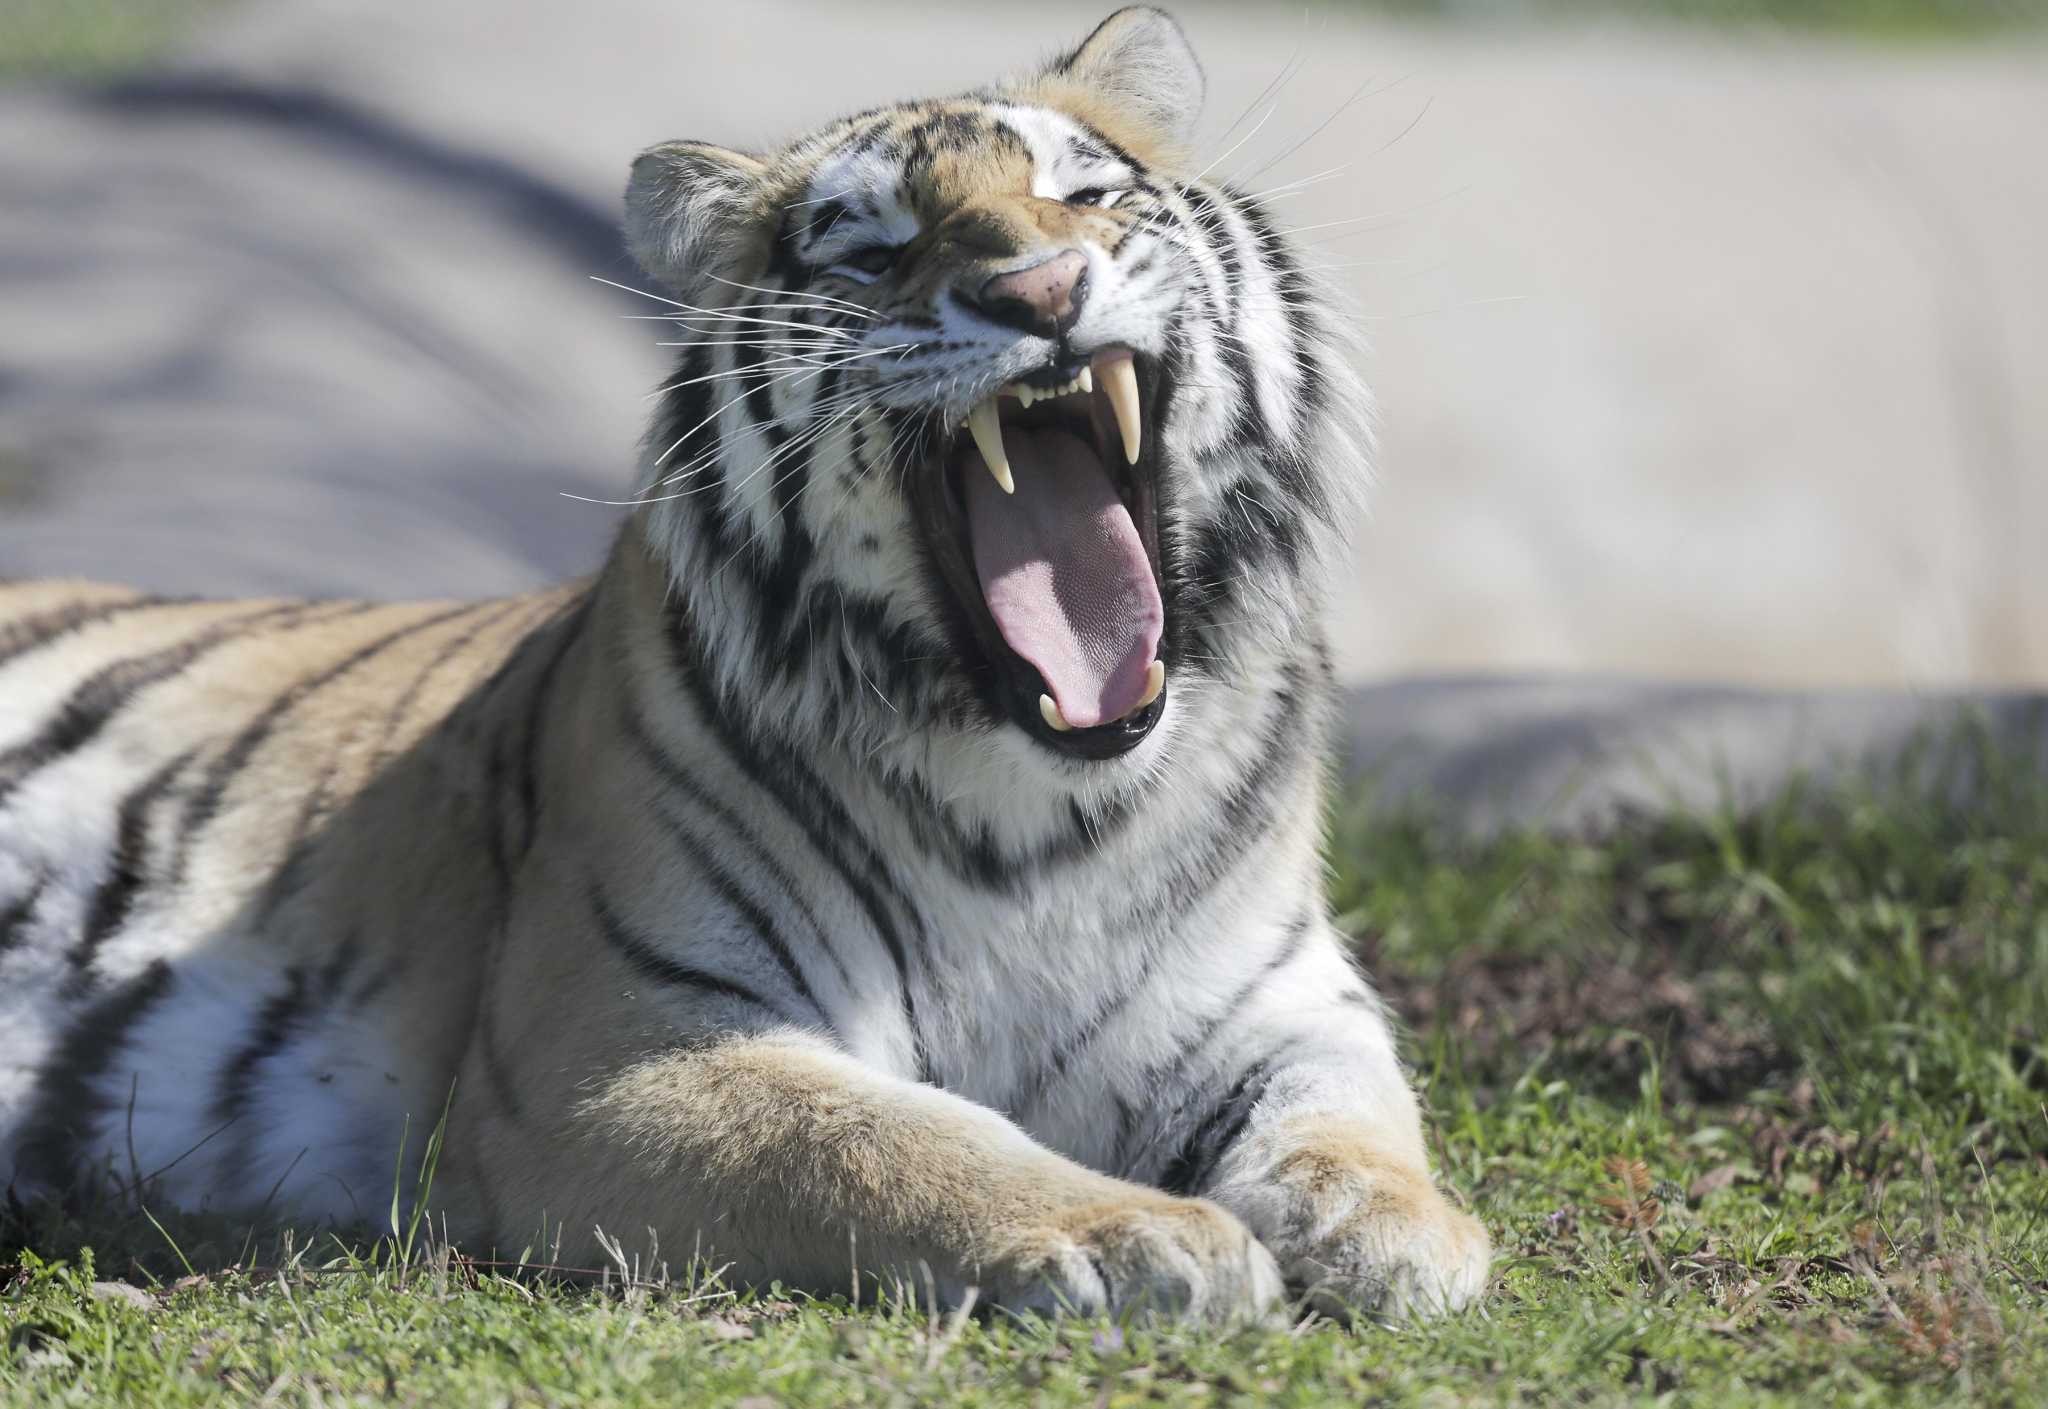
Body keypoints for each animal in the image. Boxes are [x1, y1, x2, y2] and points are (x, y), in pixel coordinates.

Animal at [0, 8, 1489, 1321]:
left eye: (1084, 194)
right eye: (873, 249)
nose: (1040, 290)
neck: (1036, 795)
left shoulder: (1283, 998)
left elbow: (1349, 1119)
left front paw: (1405, 1236)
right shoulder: (624, 1047)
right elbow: (894, 1140)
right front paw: (1141, 1235)